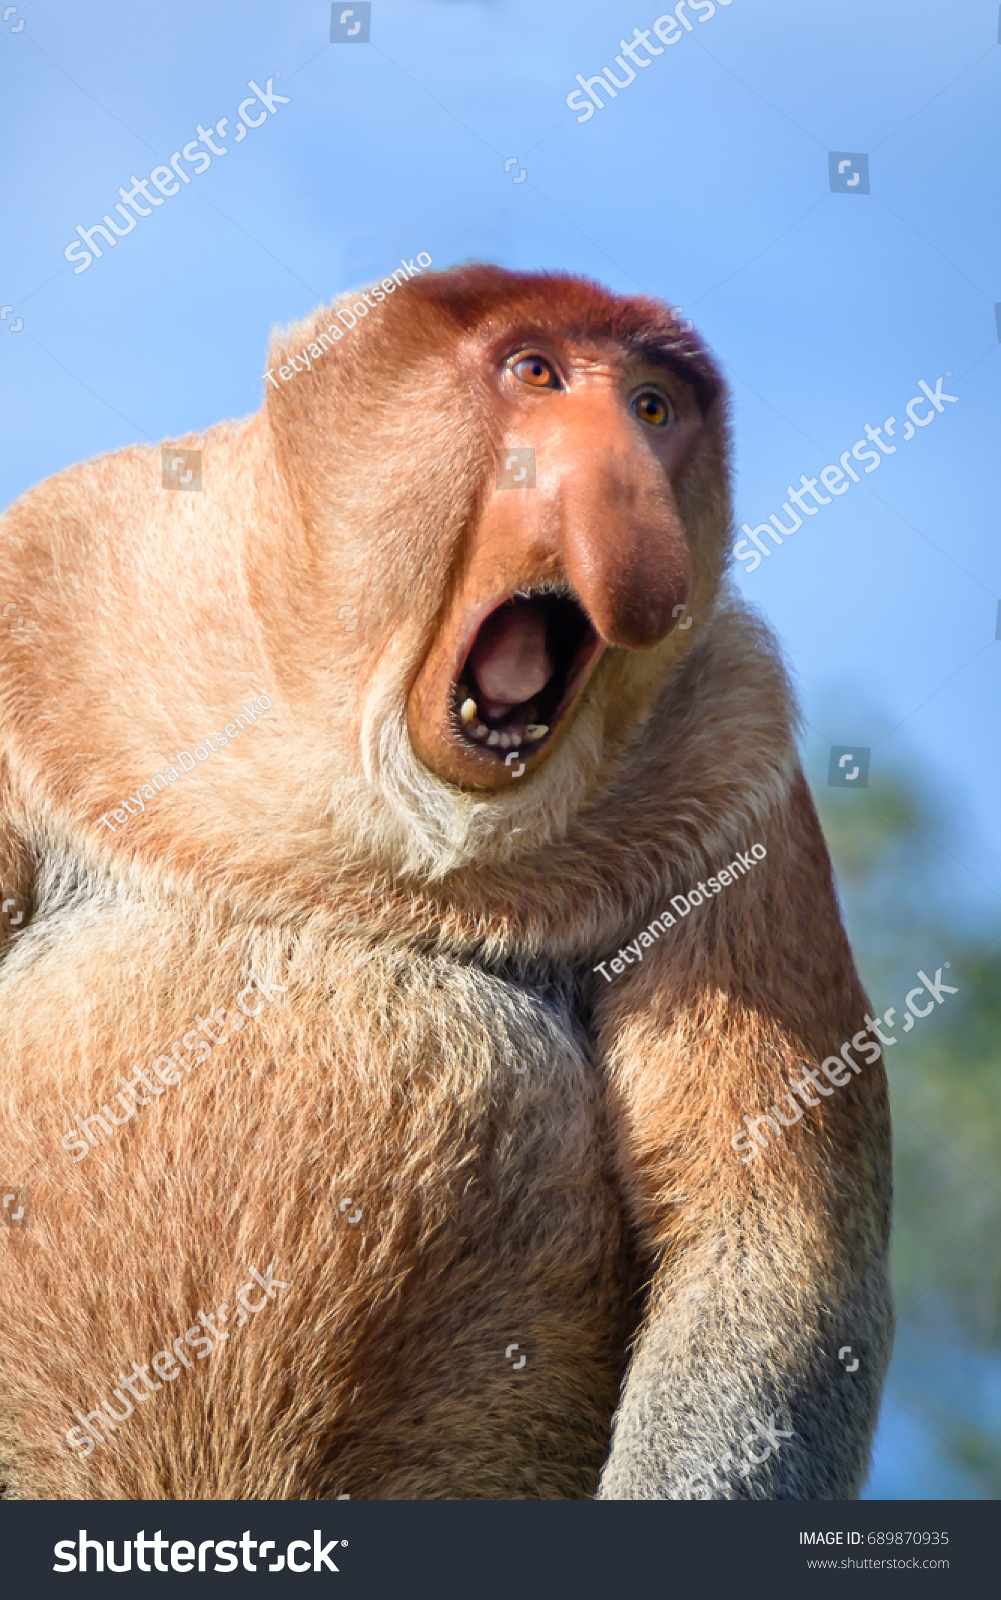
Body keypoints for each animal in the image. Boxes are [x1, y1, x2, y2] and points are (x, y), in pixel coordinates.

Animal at [0, 263, 891, 1500]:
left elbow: (763, 1240)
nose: (629, 496)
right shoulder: (48, 568)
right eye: (536, 373)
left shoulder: (736, 746)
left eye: (652, 408)